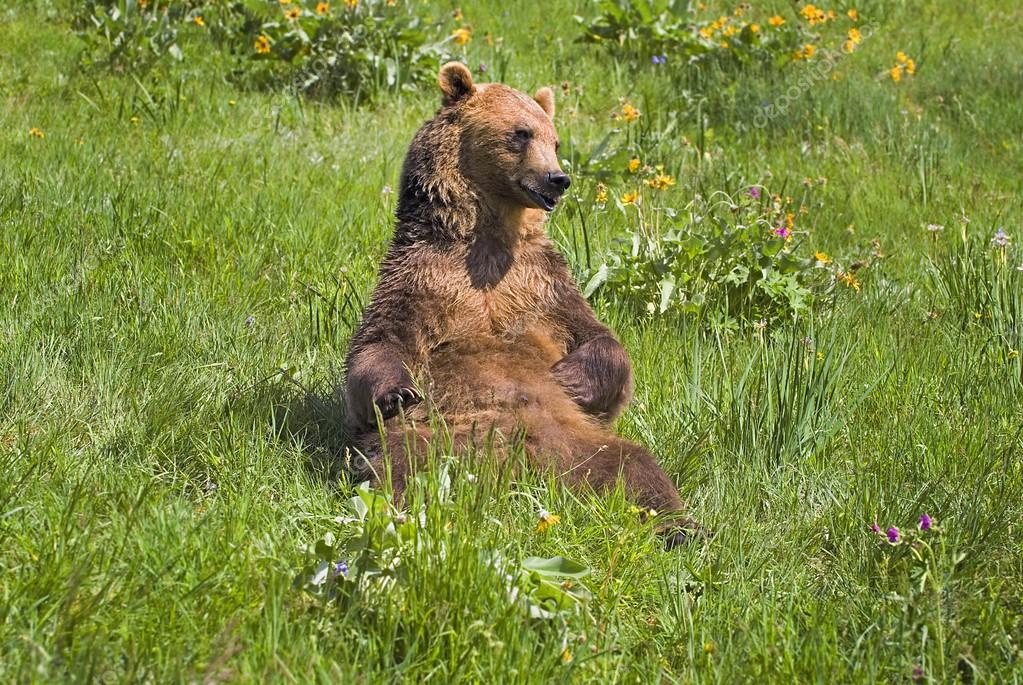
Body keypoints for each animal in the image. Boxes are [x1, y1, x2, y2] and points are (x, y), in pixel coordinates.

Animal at [343, 62, 701, 547]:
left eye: (556, 140)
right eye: (520, 133)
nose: (558, 179)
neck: (487, 243)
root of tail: (521, 469)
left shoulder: (542, 284)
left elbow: (597, 337)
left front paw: (570, 378)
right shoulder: (424, 277)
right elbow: (381, 340)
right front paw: (395, 392)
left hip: (581, 444)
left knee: (637, 469)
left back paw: (682, 527)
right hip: (434, 440)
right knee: (402, 469)